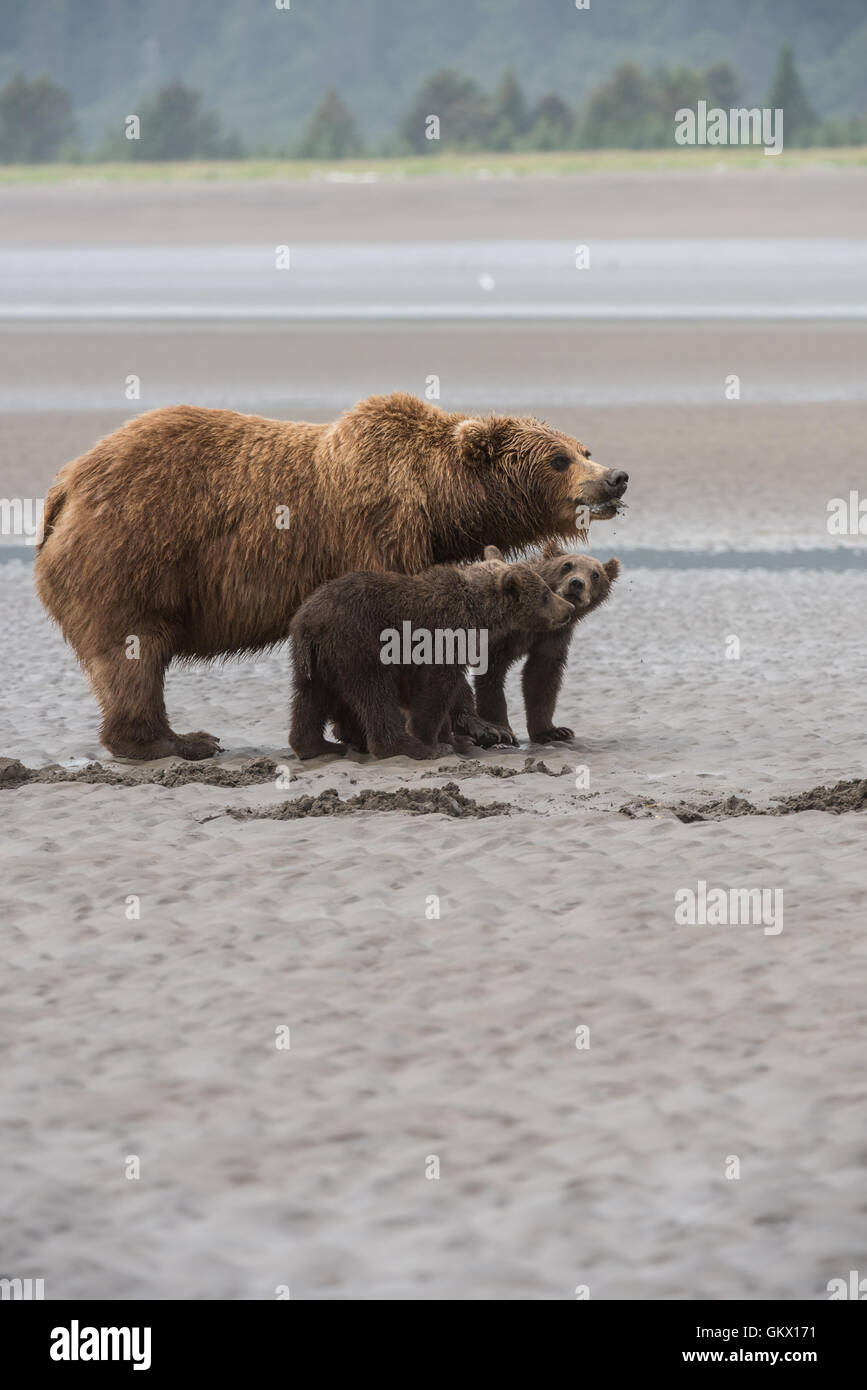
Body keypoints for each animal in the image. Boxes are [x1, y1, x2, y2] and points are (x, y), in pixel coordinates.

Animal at [288, 550, 573, 761]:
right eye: (545, 592)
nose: (568, 607)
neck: (478, 612)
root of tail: (308, 621)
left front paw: (454, 738)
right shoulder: (443, 636)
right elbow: (435, 690)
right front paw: (434, 741)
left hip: (313, 661)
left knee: (309, 698)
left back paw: (316, 746)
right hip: (358, 645)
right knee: (375, 694)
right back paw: (405, 747)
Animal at [468, 545, 620, 745]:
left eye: (595, 574)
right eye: (567, 565)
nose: (577, 583)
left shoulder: (553, 636)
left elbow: (541, 676)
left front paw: (552, 731)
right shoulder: (500, 636)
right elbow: (491, 674)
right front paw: (502, 730)